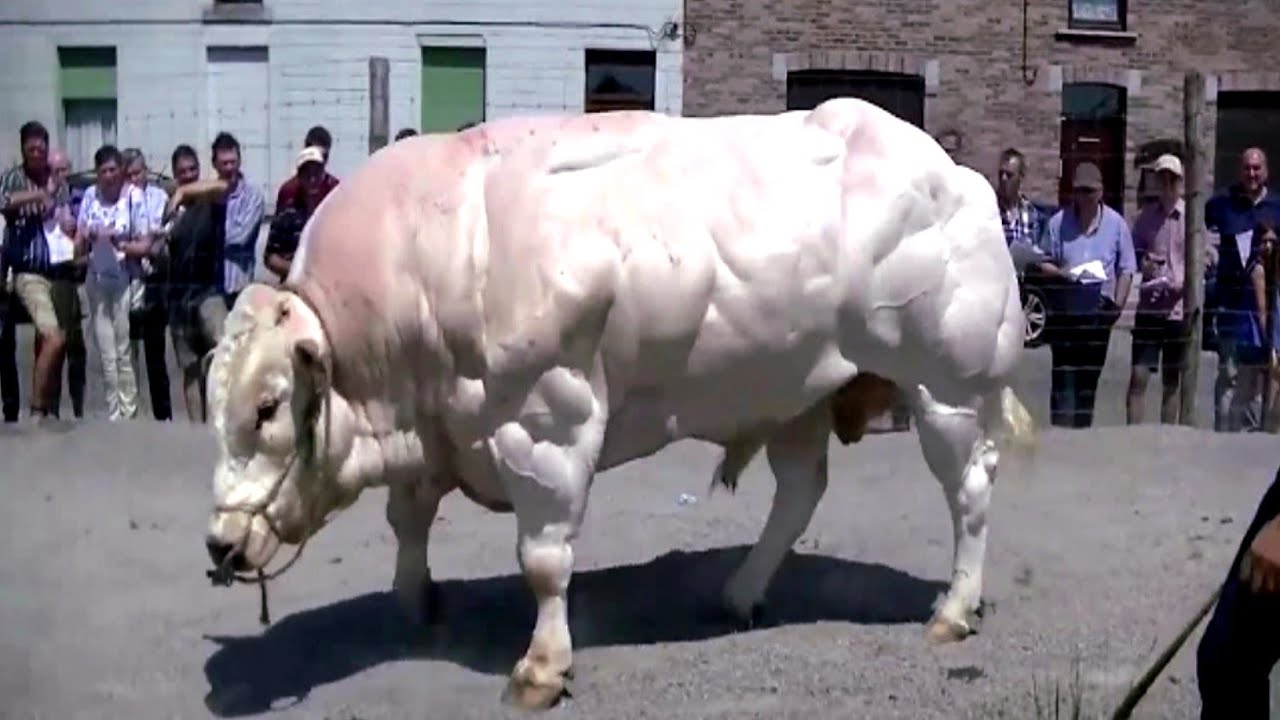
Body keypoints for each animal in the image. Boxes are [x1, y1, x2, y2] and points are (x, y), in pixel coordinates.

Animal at [202, 97, 1036, 710]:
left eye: (268, 407)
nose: (219, 546)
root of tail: (956, 174)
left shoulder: (545, 422)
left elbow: (544, 561)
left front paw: (541, 668)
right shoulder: (440, 428)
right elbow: (407, 518)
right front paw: (415, 600)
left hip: (948, 386)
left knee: (969, 492)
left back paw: (953, 610)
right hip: (795, 389)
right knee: (801, 492)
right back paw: (740, 593)